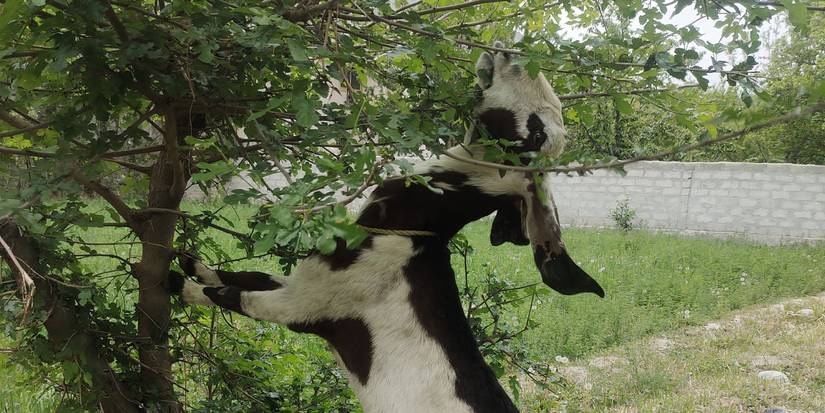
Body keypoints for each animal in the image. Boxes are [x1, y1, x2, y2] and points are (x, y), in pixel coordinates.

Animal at [169, 44, 604, 413]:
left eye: (538, 132)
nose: (510, 54)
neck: (398, 236)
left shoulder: (304, 306)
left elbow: (227, 296)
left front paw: (177, 282)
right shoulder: (302, 280)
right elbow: (240, 275)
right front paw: (188, 262)